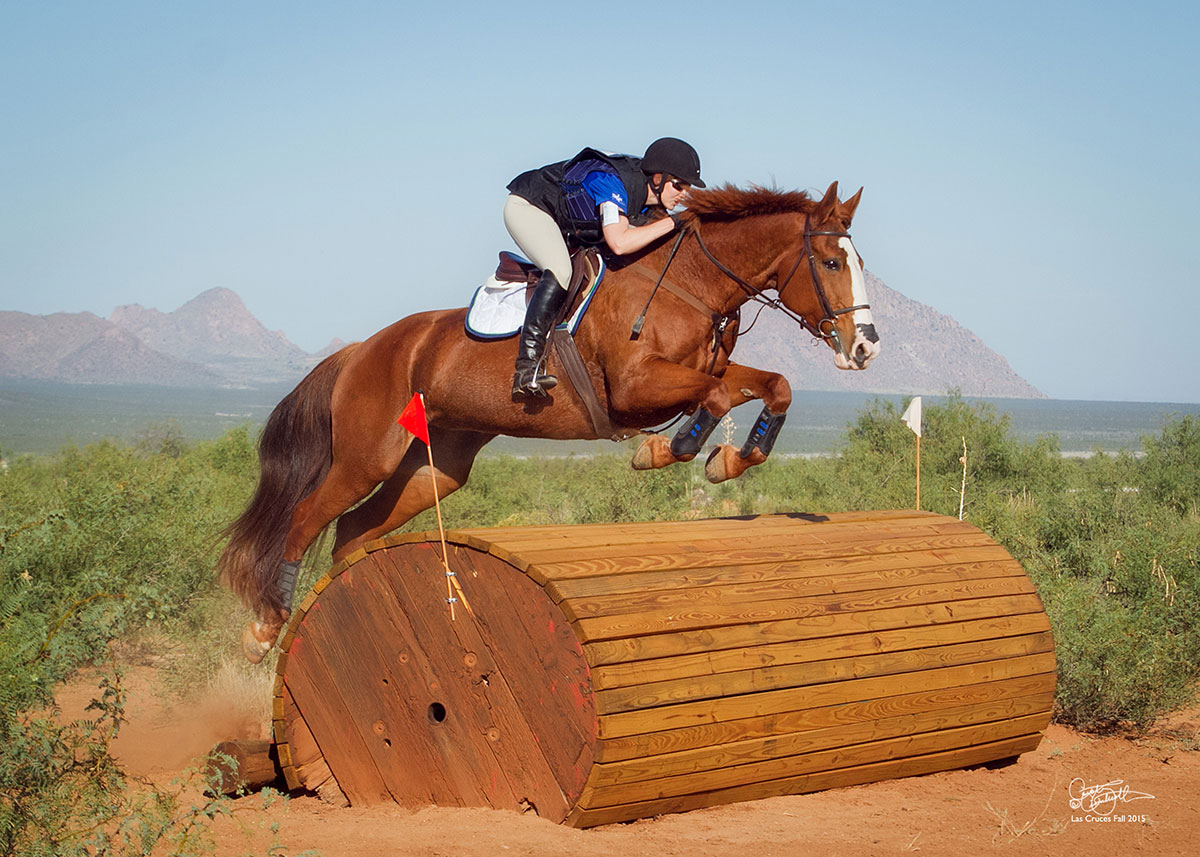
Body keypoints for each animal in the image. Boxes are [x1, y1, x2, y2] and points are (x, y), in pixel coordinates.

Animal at [219, 181, 880, 662]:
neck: (690, 284)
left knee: (356, 528)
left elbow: (775, 386)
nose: (866, 347)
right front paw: (669, 452)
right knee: (308, 516)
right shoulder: (636, 388)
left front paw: (733, 459)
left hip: (438, 467)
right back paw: (265, 630)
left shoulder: (703, 372)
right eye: (829, 262)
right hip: (367, 455)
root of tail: (362, 348)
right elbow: (715, 399)